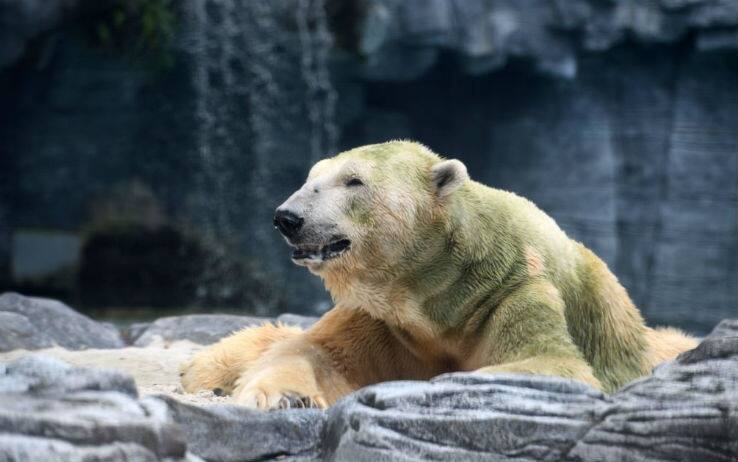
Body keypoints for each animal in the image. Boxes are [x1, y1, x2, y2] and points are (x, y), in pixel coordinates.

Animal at [180, 140, 697, 409]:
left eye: (353, 180)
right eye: (310, 179)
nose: (288, 217)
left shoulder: (517, 294)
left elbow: (552, 363)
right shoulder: (384, 317)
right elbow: (316, 353)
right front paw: (286, 397)